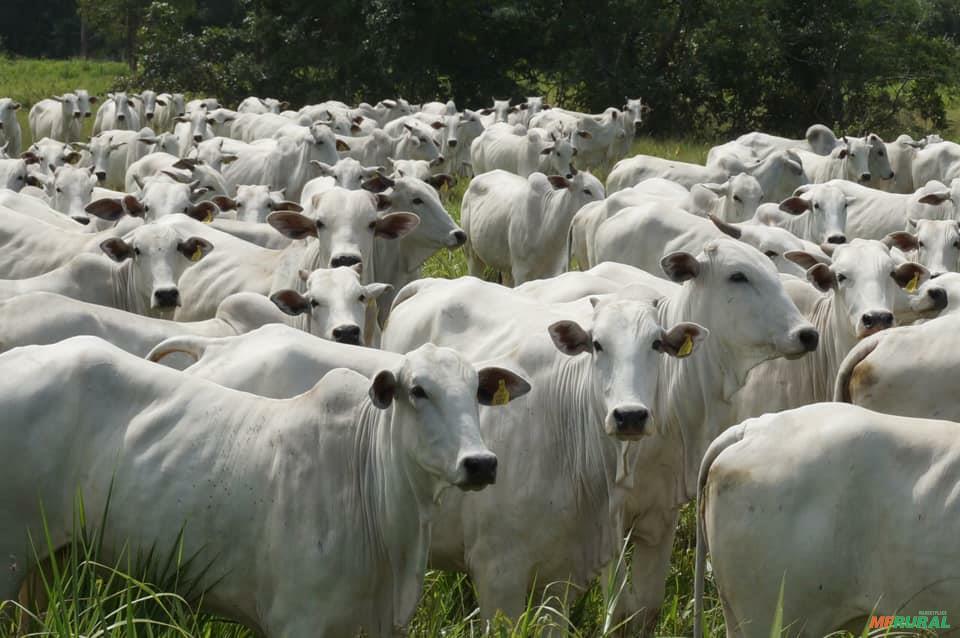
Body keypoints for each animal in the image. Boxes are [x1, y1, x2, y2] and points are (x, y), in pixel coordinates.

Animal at [0, 334, 522, 637]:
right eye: (418, 390)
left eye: (477, 392)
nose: (481, 463)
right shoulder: (299, 621)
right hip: (10, 560)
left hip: (48, 561)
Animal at [461, 169, 603, 285]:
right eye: (586, 190)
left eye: (602, 189)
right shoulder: (520, 272)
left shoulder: (555, 271)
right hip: (472, 255)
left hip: (506, 269)